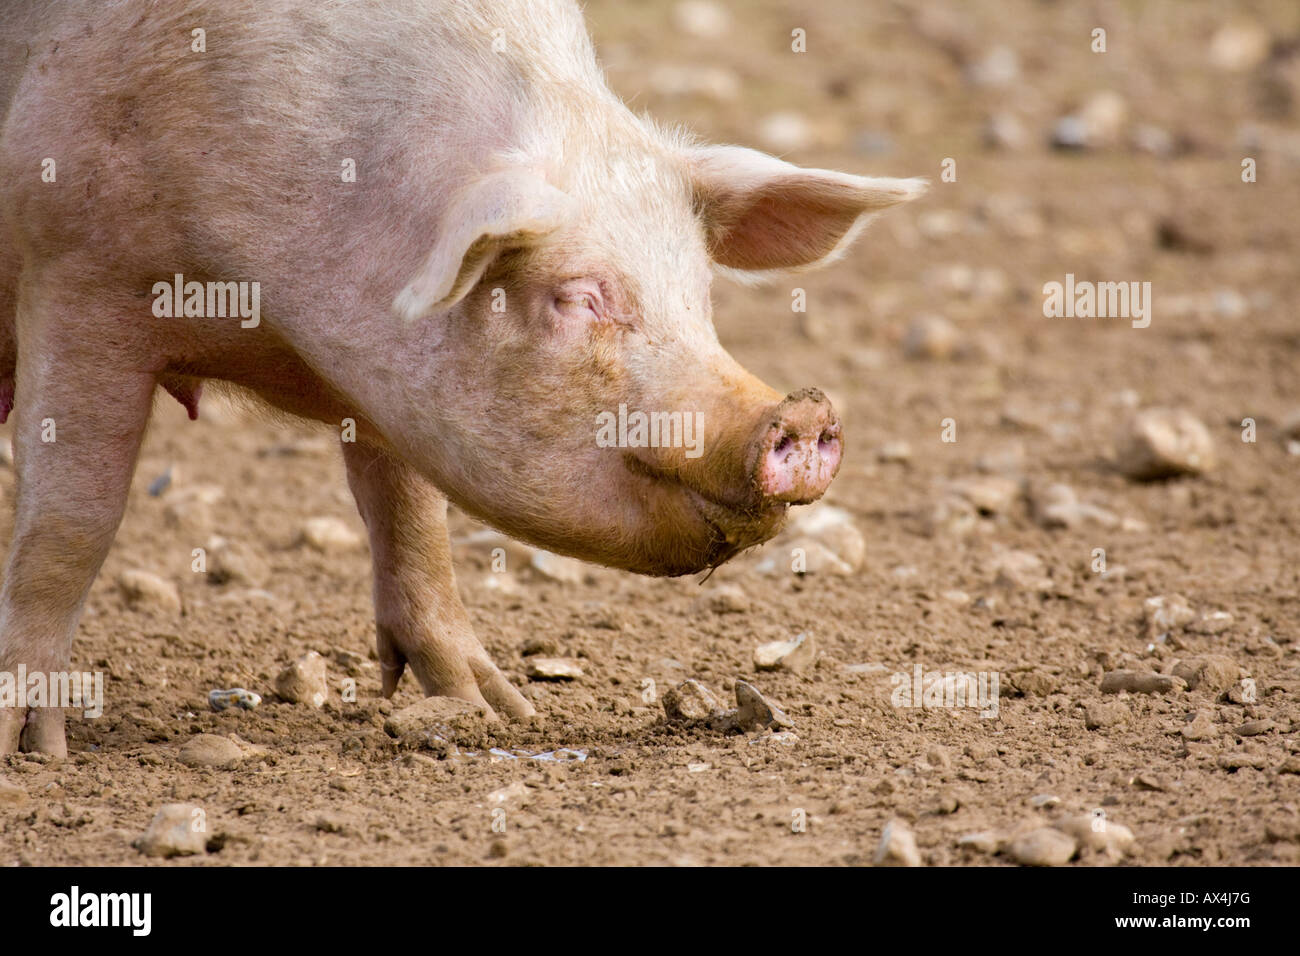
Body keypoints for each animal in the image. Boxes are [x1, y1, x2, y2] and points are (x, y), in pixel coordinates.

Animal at [0, 0, 925, 754]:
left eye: (701, 294)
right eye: (578, 296)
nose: (800, 412)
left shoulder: (389, 377)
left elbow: (413, 520)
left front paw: (493, 709)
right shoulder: (77, 271)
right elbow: (72, 521)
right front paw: (36, 747)